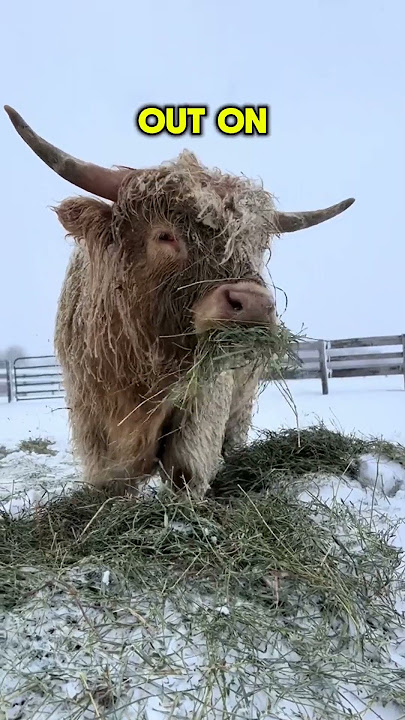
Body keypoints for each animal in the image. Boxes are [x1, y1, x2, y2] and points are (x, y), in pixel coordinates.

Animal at [4, 105, 355, 499]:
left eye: (256, 245)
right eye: (165, 235)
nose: (252, 304)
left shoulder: (203, 405)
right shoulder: (92, 424)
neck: (143, 364)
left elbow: (186, 472)